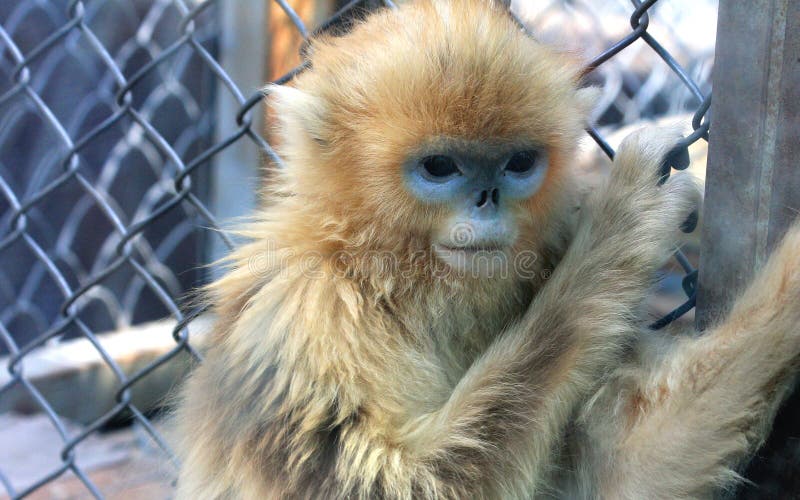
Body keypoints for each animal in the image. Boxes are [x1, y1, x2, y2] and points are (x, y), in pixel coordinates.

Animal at [173, 0, 800, 498]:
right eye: (439, 167)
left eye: (518, 163)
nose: (487, 199)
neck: (408, 279)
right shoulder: (301, 313)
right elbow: (412, 483)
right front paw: (621, 222)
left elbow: (628, 475)